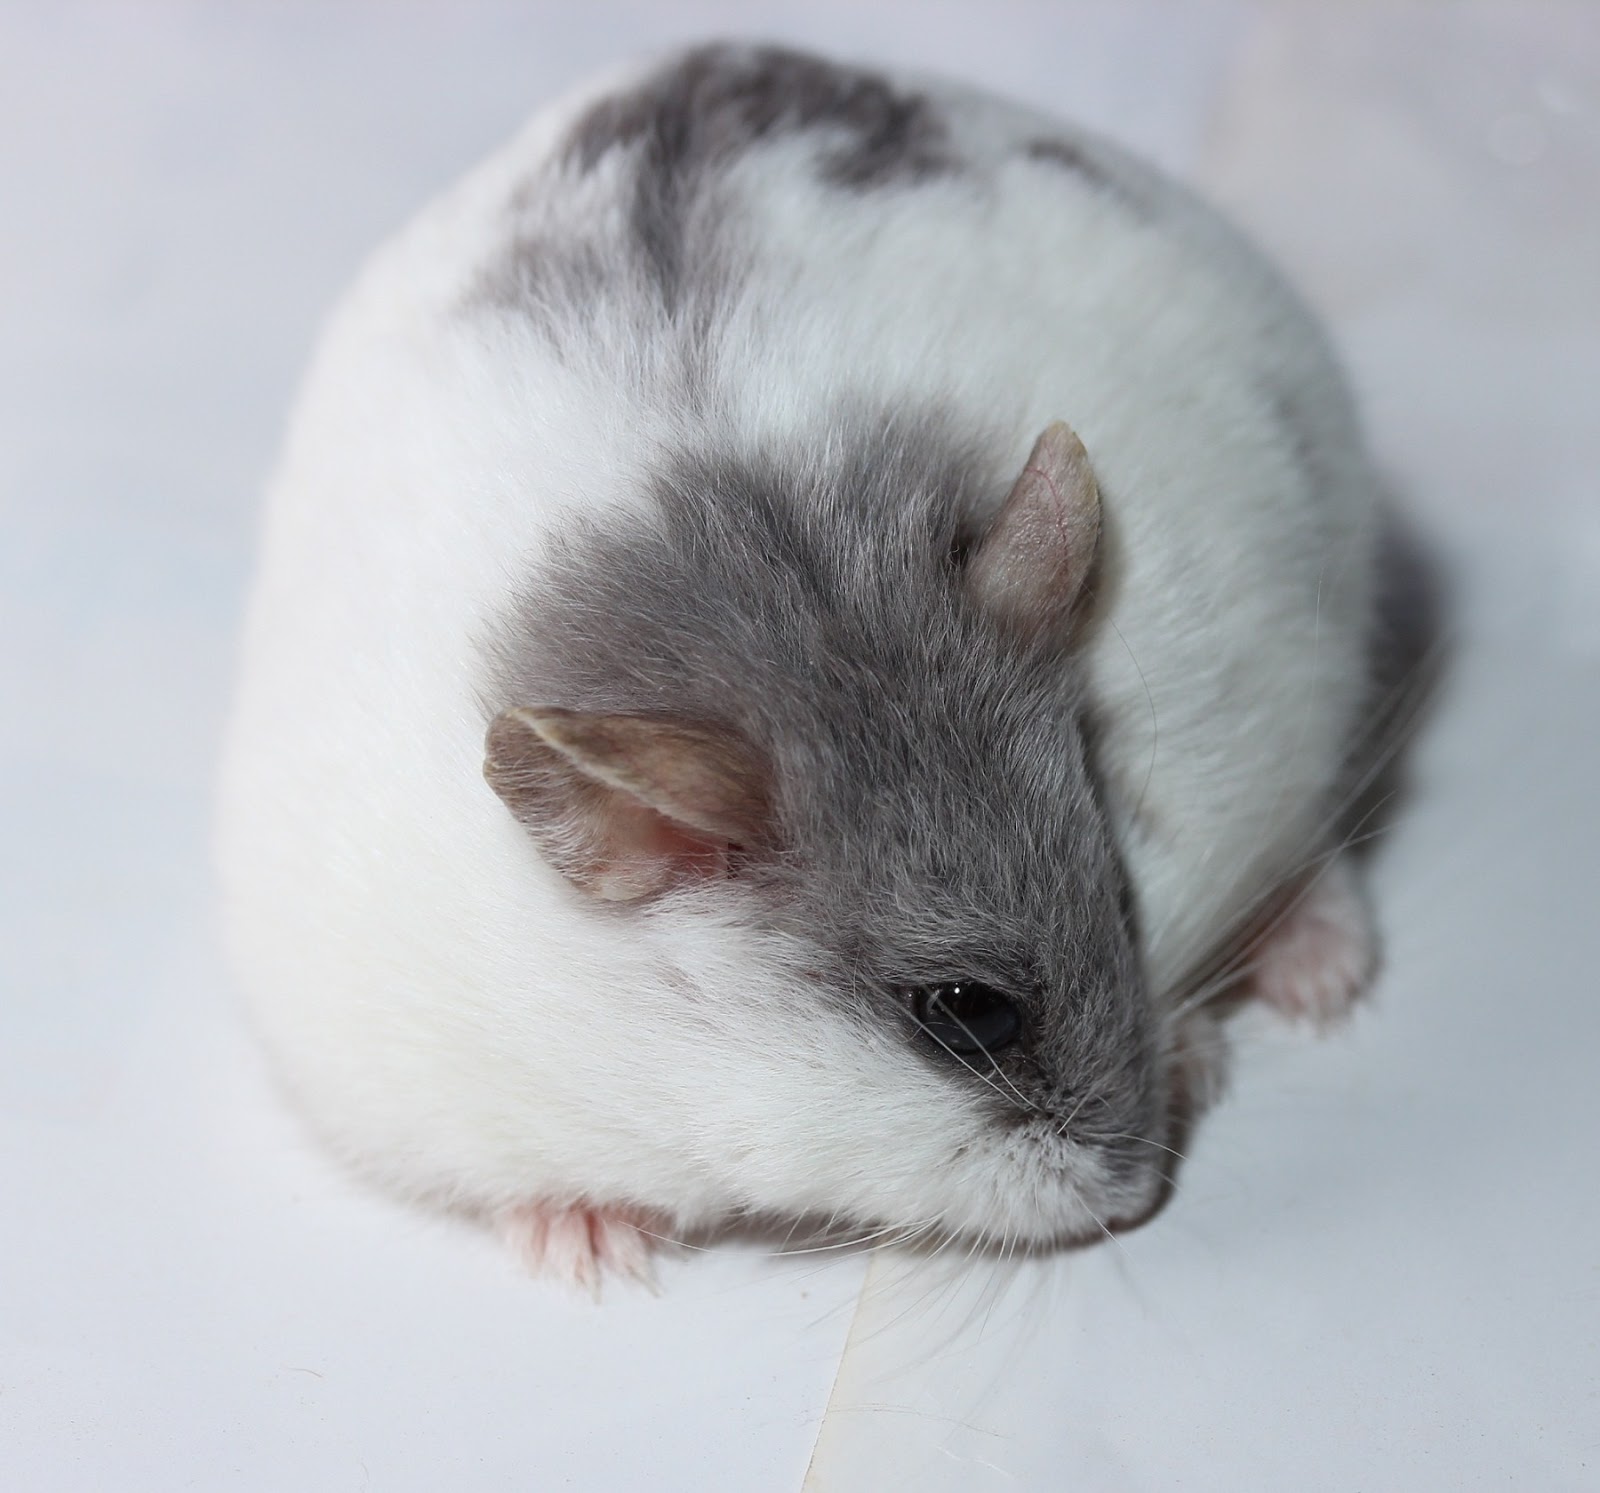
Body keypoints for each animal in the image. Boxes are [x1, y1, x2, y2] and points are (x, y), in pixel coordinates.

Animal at [216, 43, 1384, 1289]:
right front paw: (595, 1255)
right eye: (965, 1010)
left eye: (1125, 891)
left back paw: (1323, 977)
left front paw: (1201, 1047)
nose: (1139, 1193)